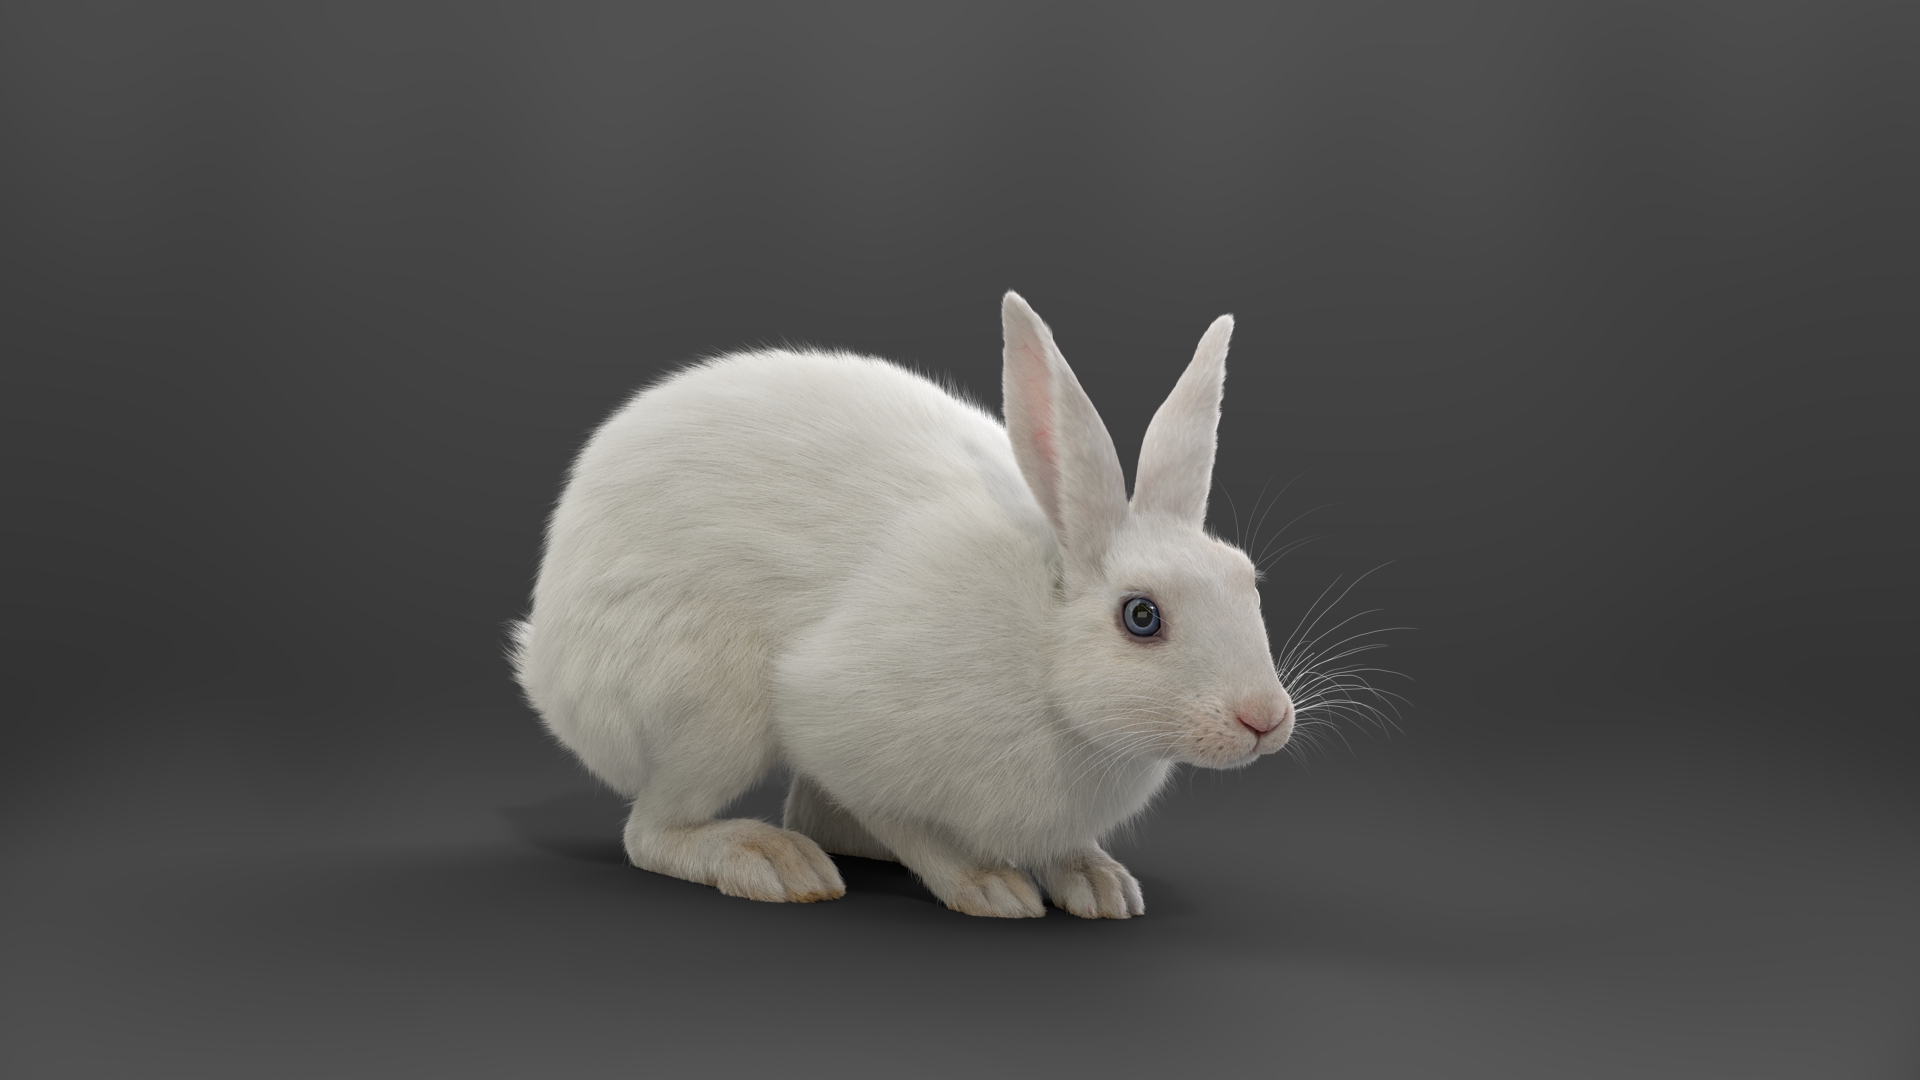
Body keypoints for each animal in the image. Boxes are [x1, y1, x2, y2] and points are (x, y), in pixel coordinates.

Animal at [510, 292, 1294, 918]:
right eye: (1141, 617)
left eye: (1248, 581)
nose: (1265, 719)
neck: (1043, 661)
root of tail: (546, 670)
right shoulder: (835, 723)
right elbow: (912, 826)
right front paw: (990, 887)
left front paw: (1099, 884)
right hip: (708, 709)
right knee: (655, 831)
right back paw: (772, 861)